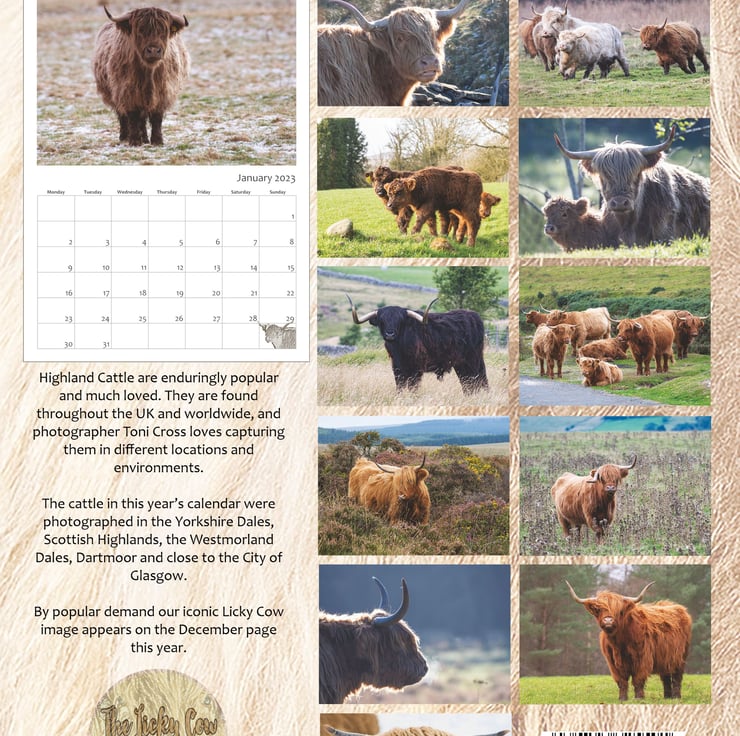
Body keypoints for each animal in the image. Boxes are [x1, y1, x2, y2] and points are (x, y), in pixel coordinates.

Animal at [93, 6, 190, 146]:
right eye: (140, 29)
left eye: (163, 30)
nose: (154, 50)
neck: (149, 73)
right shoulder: (127, 91)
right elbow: (132, 116)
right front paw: (134, 141)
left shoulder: (163, 92)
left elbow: (156, 117)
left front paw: (157, 140)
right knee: (123, 115)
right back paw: (125, 137)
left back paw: (144, 138)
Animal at [346, 294, 488, 393]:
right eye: (382, 320)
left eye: (400, 321)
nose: (390, 334)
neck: (399, 348)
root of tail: (475, 316)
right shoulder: (397, 368)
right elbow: (400, 387)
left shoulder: (415, 369)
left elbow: (413, 388)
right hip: (463, 364)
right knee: (472, 382)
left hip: (471, 361)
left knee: (475, 382)